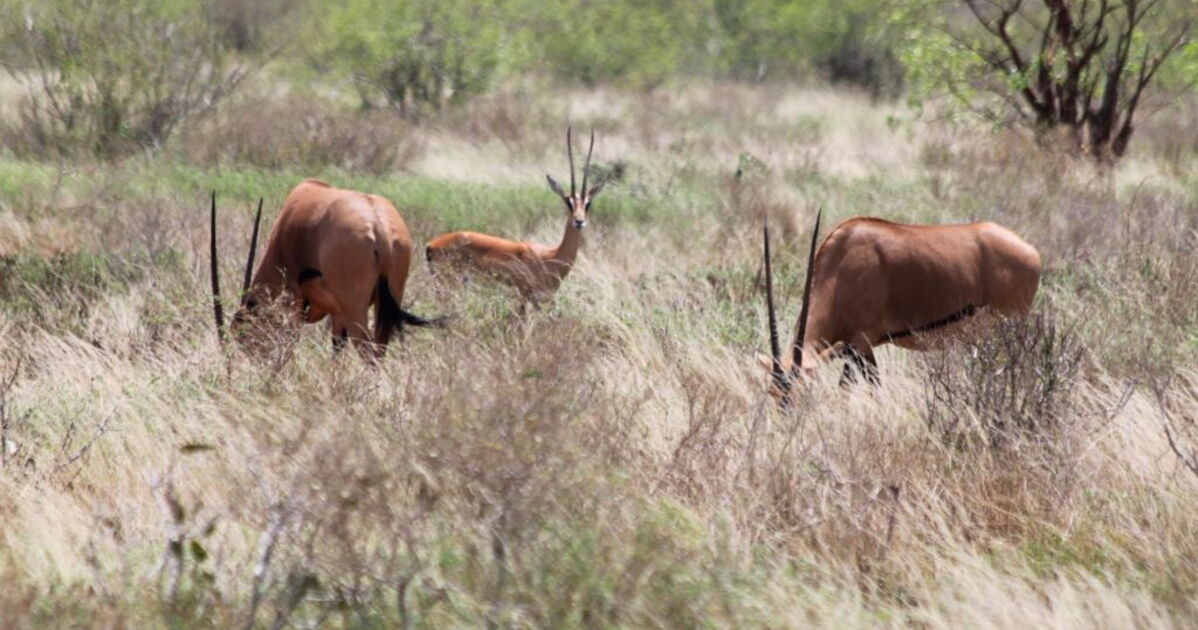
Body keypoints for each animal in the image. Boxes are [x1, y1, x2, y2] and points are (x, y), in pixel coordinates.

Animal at [209, 179, 442, 357]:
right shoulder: (337, 311)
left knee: (367, 352)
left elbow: (290, 342)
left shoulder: (294, 303)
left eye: (242, 334)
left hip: (355, 308)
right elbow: (337, 348)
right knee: (379, 349)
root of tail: (379, 228)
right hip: (384, 301)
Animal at [424, 127, 605, 302]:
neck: (550, 257)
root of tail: (431, 244)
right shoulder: (523, 297)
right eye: (568, 201)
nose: (579, 221)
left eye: (588, 203)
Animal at [761, 211, 1041, 395]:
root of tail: (1031, 251)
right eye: (772, 393)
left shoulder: (861, 343)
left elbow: (858, 389)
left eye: (799, 391)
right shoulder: (854, 348)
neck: (840, 268)